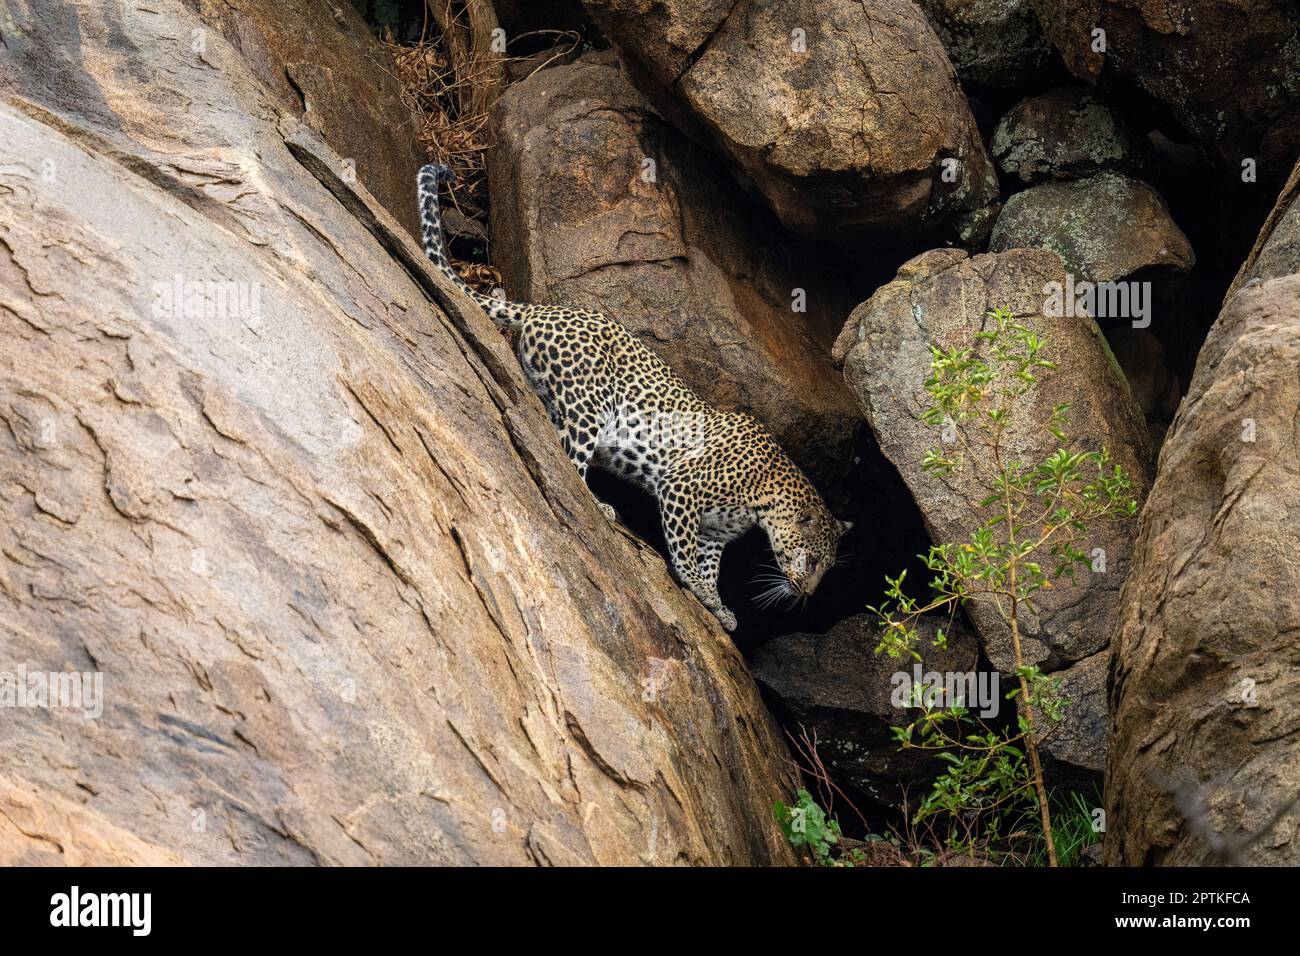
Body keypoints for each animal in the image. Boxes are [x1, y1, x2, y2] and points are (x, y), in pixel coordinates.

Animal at [416, 163, 850, 631]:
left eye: (827, 568)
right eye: (811, 561)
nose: (807, 594)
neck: (764, 501)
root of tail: (543, 310)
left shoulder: (712, 533)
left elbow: (710, 565)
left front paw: (717, 606)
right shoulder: (681, 488)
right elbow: (684, 553)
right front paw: (697, 588)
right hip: (590, 407)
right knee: (568, 461)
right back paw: (600, 507)